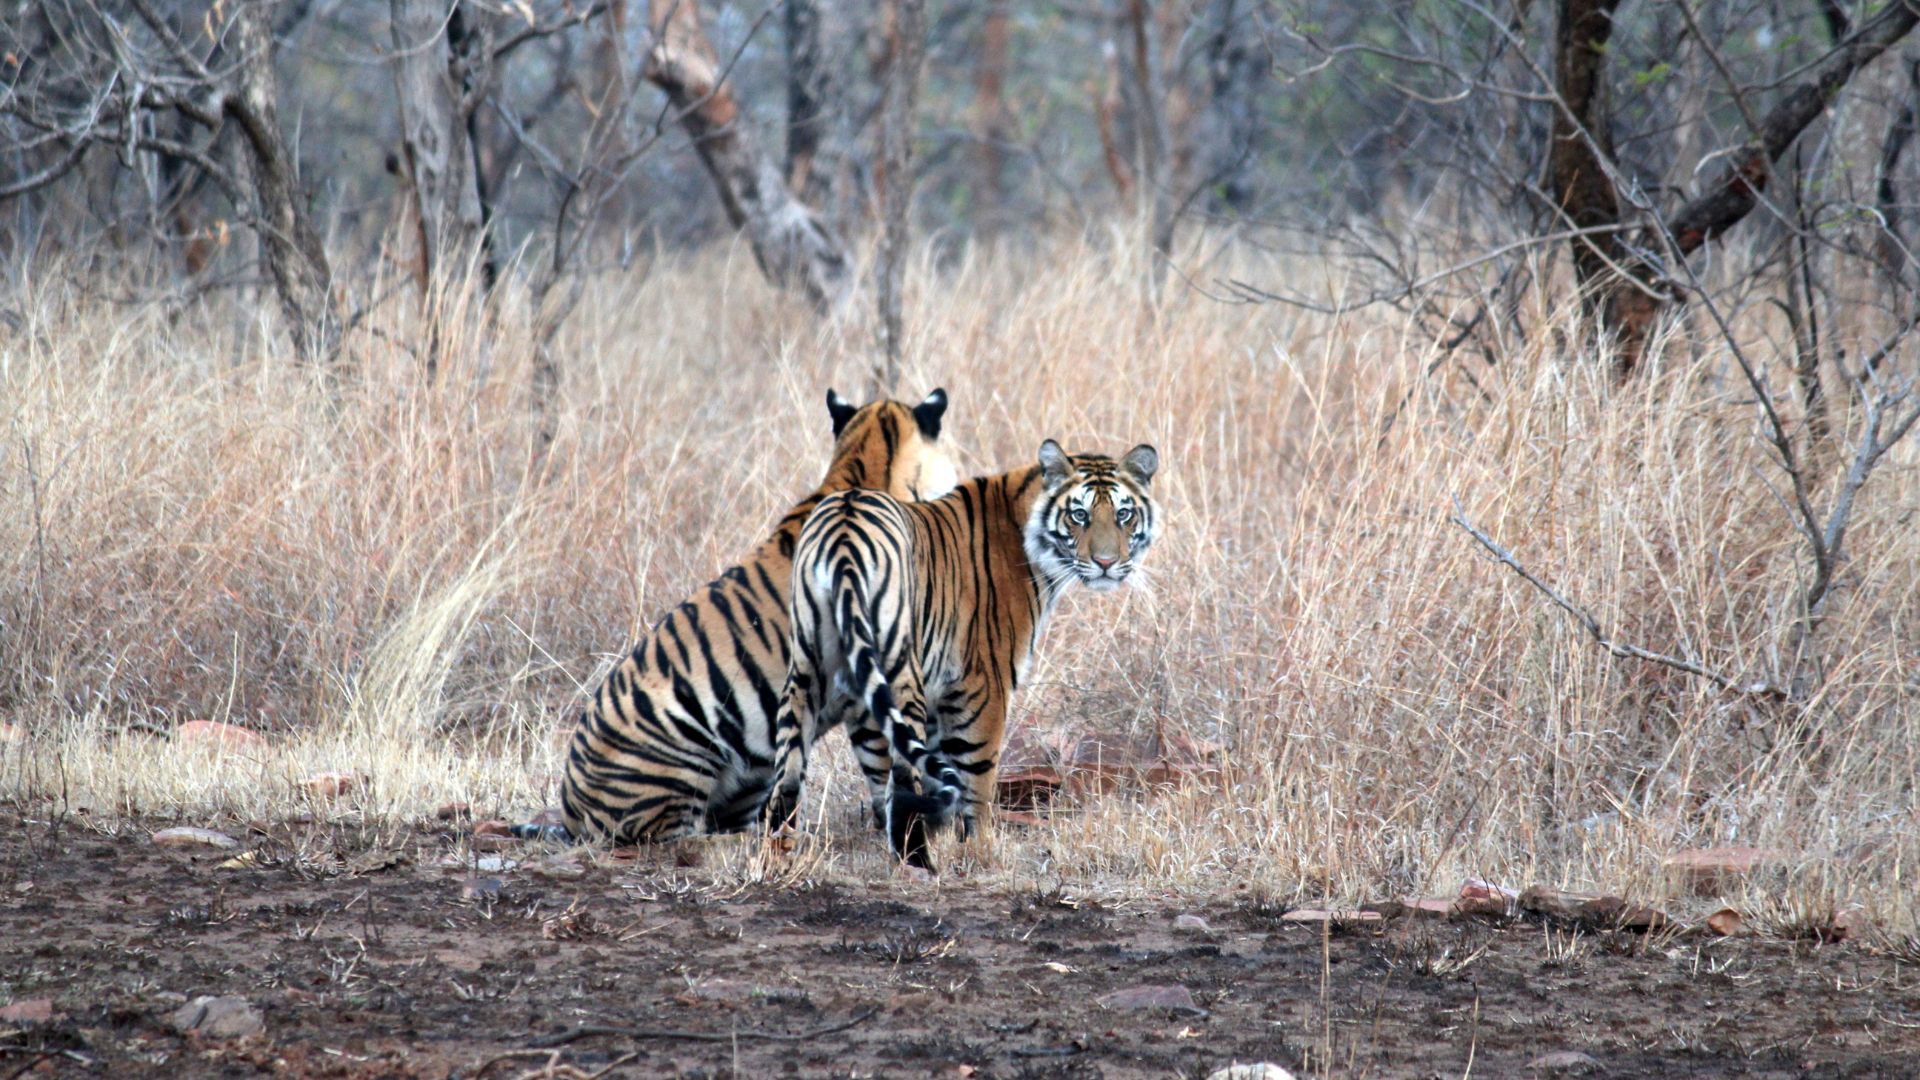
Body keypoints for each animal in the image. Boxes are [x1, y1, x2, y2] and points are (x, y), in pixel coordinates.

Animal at [553, 389, 958, 845]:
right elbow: (887, 760)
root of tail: (569, 813)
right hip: (683, 752)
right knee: (675, 832)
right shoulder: (870, 688)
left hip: (748, 778)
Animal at [764, 438, 1161, 869]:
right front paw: (978, 844)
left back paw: (777, 853)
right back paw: (917, 858)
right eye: (1079, 515)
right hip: (901, 672)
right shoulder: (983, 683)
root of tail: (844, 530)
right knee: (903, 773)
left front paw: (940, 830)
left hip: (805, 672)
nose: (1106, 564)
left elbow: (925, 767)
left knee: (789, 773)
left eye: (1123, 514)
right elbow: (976, 773)